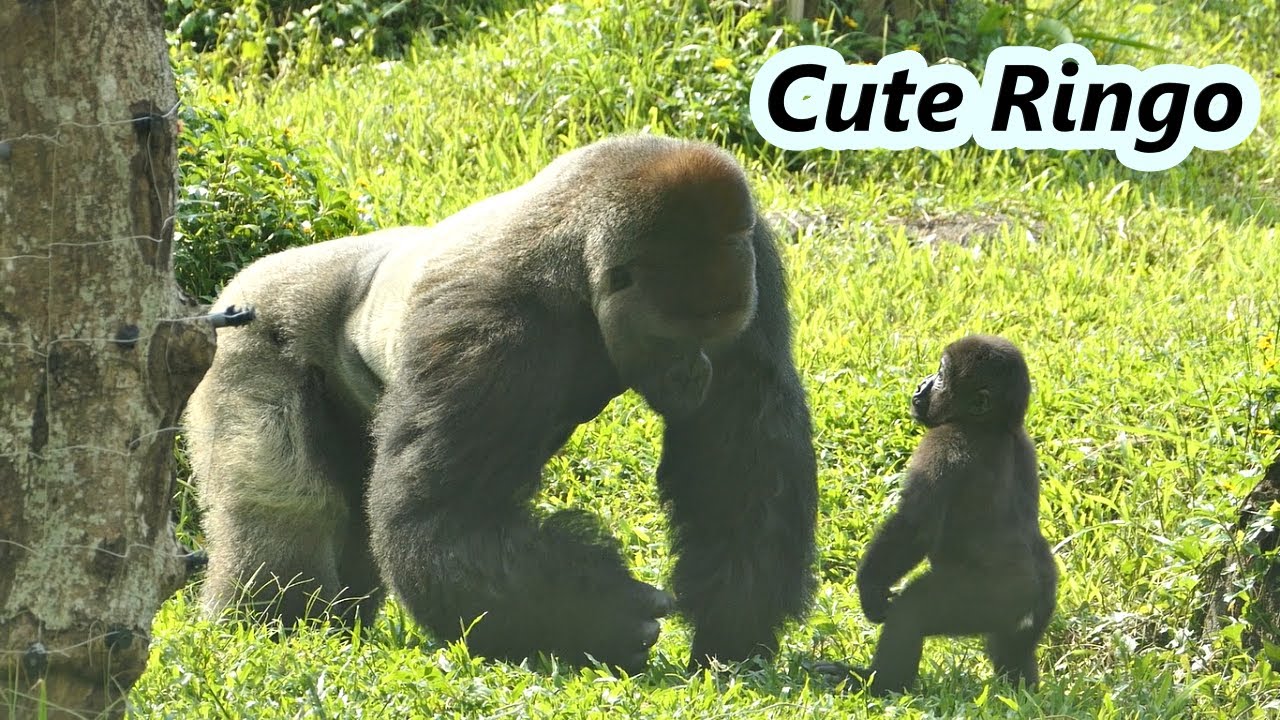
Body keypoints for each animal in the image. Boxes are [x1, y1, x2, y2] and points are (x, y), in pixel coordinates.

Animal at [183, 135, 818, 673]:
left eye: (720, 335)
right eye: (676, 339)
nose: (697, 374)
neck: (577, 256)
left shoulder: (752, 250)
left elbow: (742, 466)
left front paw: (733, 625)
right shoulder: (490, 325)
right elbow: (448, 516)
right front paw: (602, 618)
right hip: (246, 340)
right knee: (287, 507)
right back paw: (274, 625)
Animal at [816, 334, 1057, 696]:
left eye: (941, 376)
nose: (922, 384)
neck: (990, 425)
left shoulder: (942, 444)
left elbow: (914, 527)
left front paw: (869, 588)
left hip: (990, 598)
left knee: (911, 612)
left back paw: (879, 683)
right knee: (1013, 651)